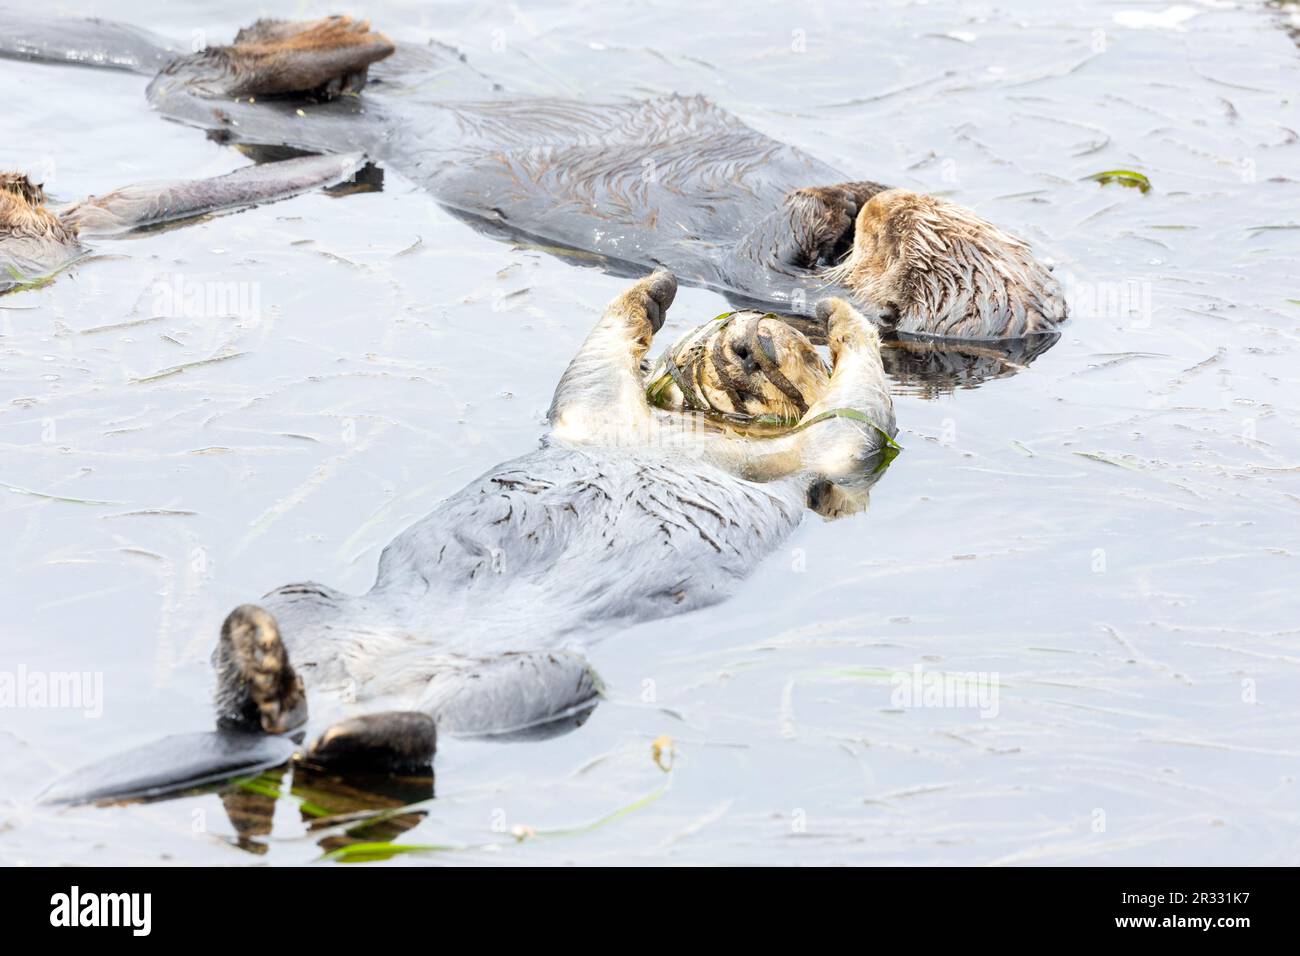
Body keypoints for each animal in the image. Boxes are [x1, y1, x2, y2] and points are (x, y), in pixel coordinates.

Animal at [41, 270, 898, 805]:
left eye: (783, 353)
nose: (745, 341)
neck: (702, 437)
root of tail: (346, 693)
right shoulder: (593, 409)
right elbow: (596, 358)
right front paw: (656, 291)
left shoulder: (831, 460)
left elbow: (861, 410)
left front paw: (839, 318)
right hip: (304, 600)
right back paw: (258, 659)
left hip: (539, 677)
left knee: (408, 734)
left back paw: (342, 725)